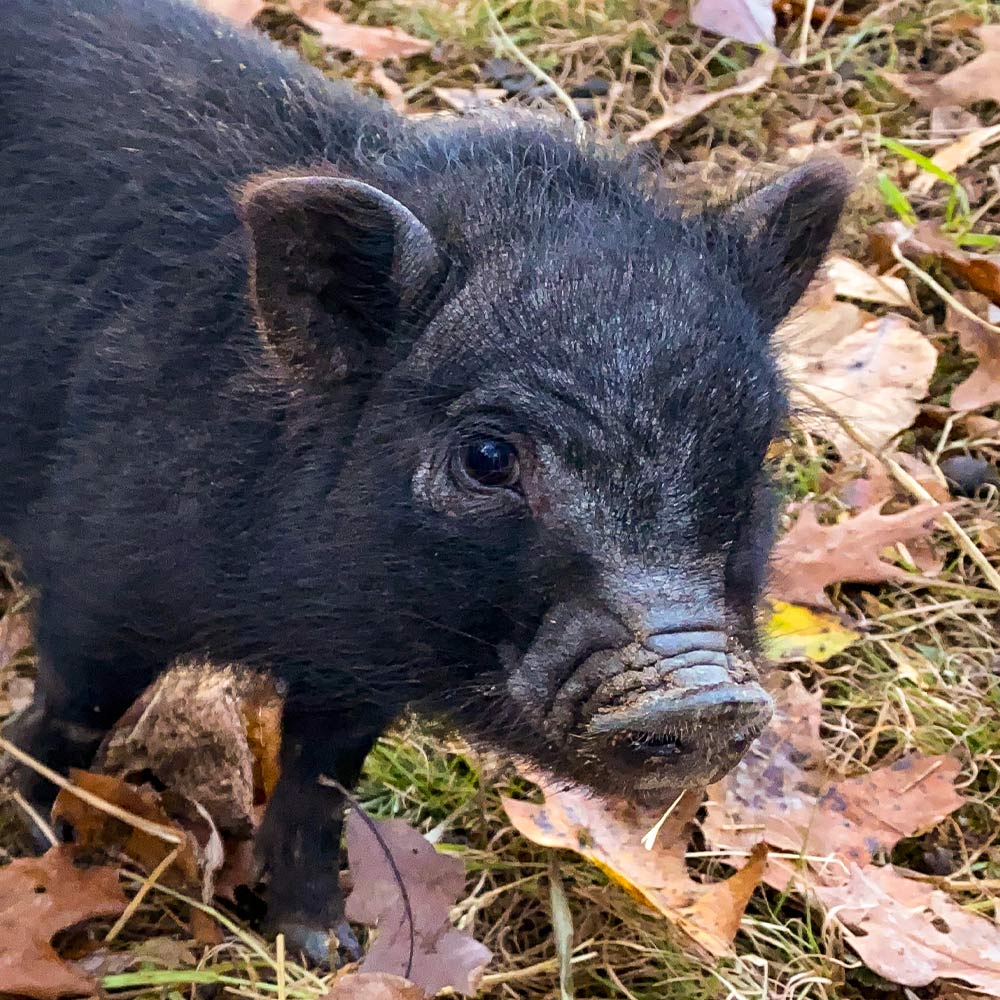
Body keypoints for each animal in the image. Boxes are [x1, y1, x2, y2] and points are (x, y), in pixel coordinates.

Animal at [0, 0, 849, 961]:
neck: (285, 617)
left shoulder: (361, 676)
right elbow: (70, 714)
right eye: (487, 457)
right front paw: (43, 848)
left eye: (756, 451)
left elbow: (321, 784)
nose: (707, 697)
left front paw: (326, 949)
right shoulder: (93, 575)